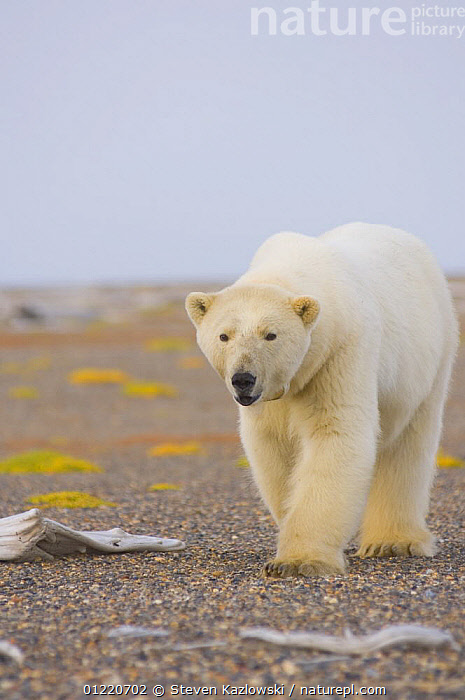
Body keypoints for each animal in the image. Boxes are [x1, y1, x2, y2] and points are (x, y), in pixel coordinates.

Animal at [185, 223, 458, 578]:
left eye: (270, 335)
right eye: (223, 335)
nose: (243, 379)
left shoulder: (340, 353)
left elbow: (335, 434)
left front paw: (298, 561)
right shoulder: (271, 400)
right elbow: (273, 448)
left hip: (432, 355)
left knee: (408, 445)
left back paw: (394, 542)